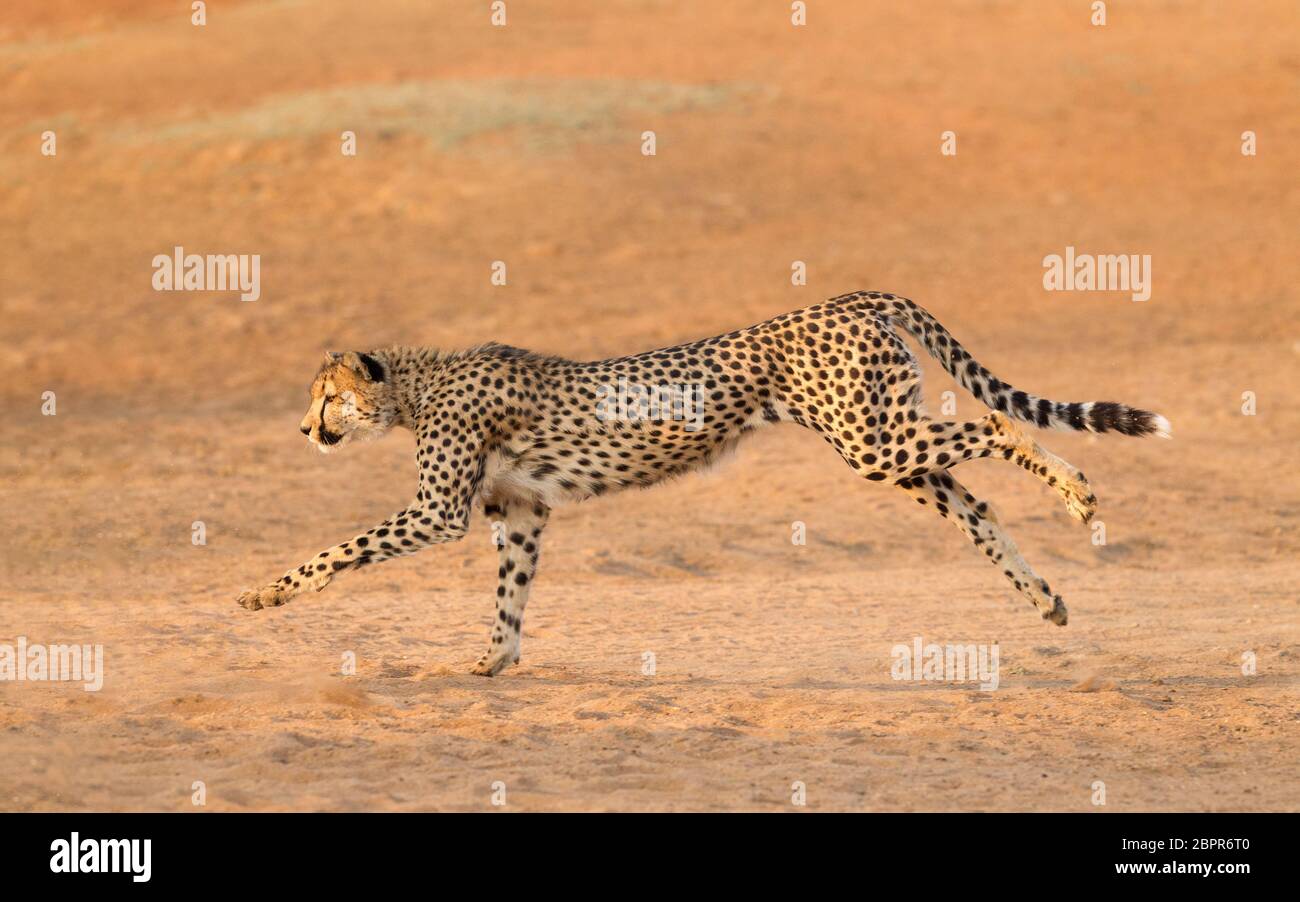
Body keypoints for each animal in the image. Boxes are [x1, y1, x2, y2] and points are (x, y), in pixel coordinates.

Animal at [236, 291, 1169, 676]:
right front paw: (494, 660)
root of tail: (849, 297)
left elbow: (339, 551)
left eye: (327, 397)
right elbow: (511, 592)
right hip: (886, 445)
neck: (415, 386)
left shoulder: (439, 511)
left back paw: (1078, 492)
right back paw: (1045, 596)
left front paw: (264, 593)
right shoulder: (524, 510)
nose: (306, 429)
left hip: (872, 441)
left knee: (1002, 428)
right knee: (973, 501)